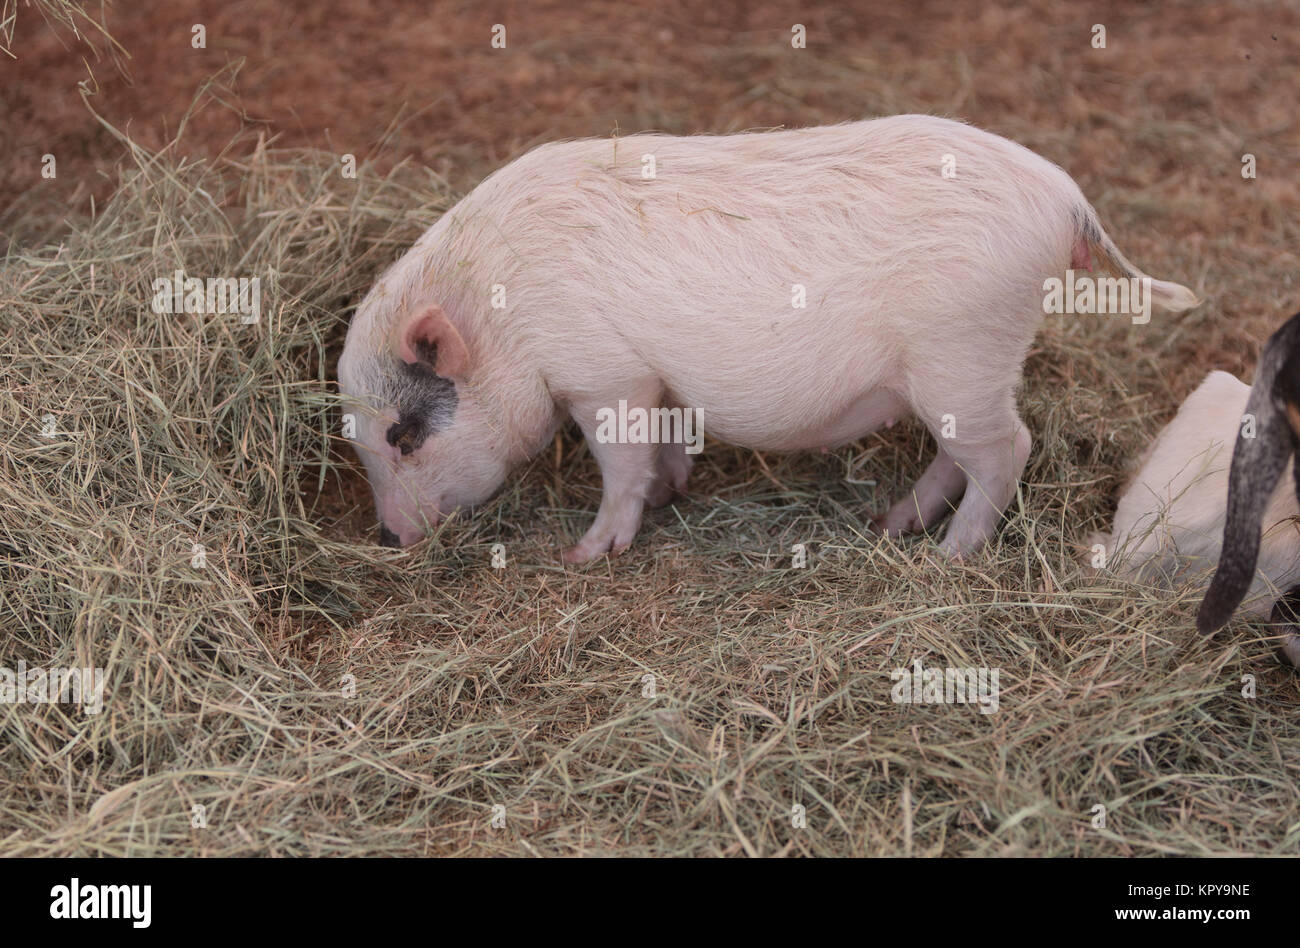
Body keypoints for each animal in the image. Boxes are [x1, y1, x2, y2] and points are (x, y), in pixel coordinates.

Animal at [337, 115, 1199, 564]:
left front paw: (587, 556)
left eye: (403, 435)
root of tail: (1066, 196)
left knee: (1006, 449)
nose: (387, 537)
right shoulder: (655, 381)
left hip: (965, 351)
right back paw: (893, 525)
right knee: (964, 452)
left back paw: (948, 556)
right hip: (958, 371)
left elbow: (621, 464)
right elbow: (663, 443)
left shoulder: (606, 374)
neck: (502, 313)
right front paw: (674, 489)